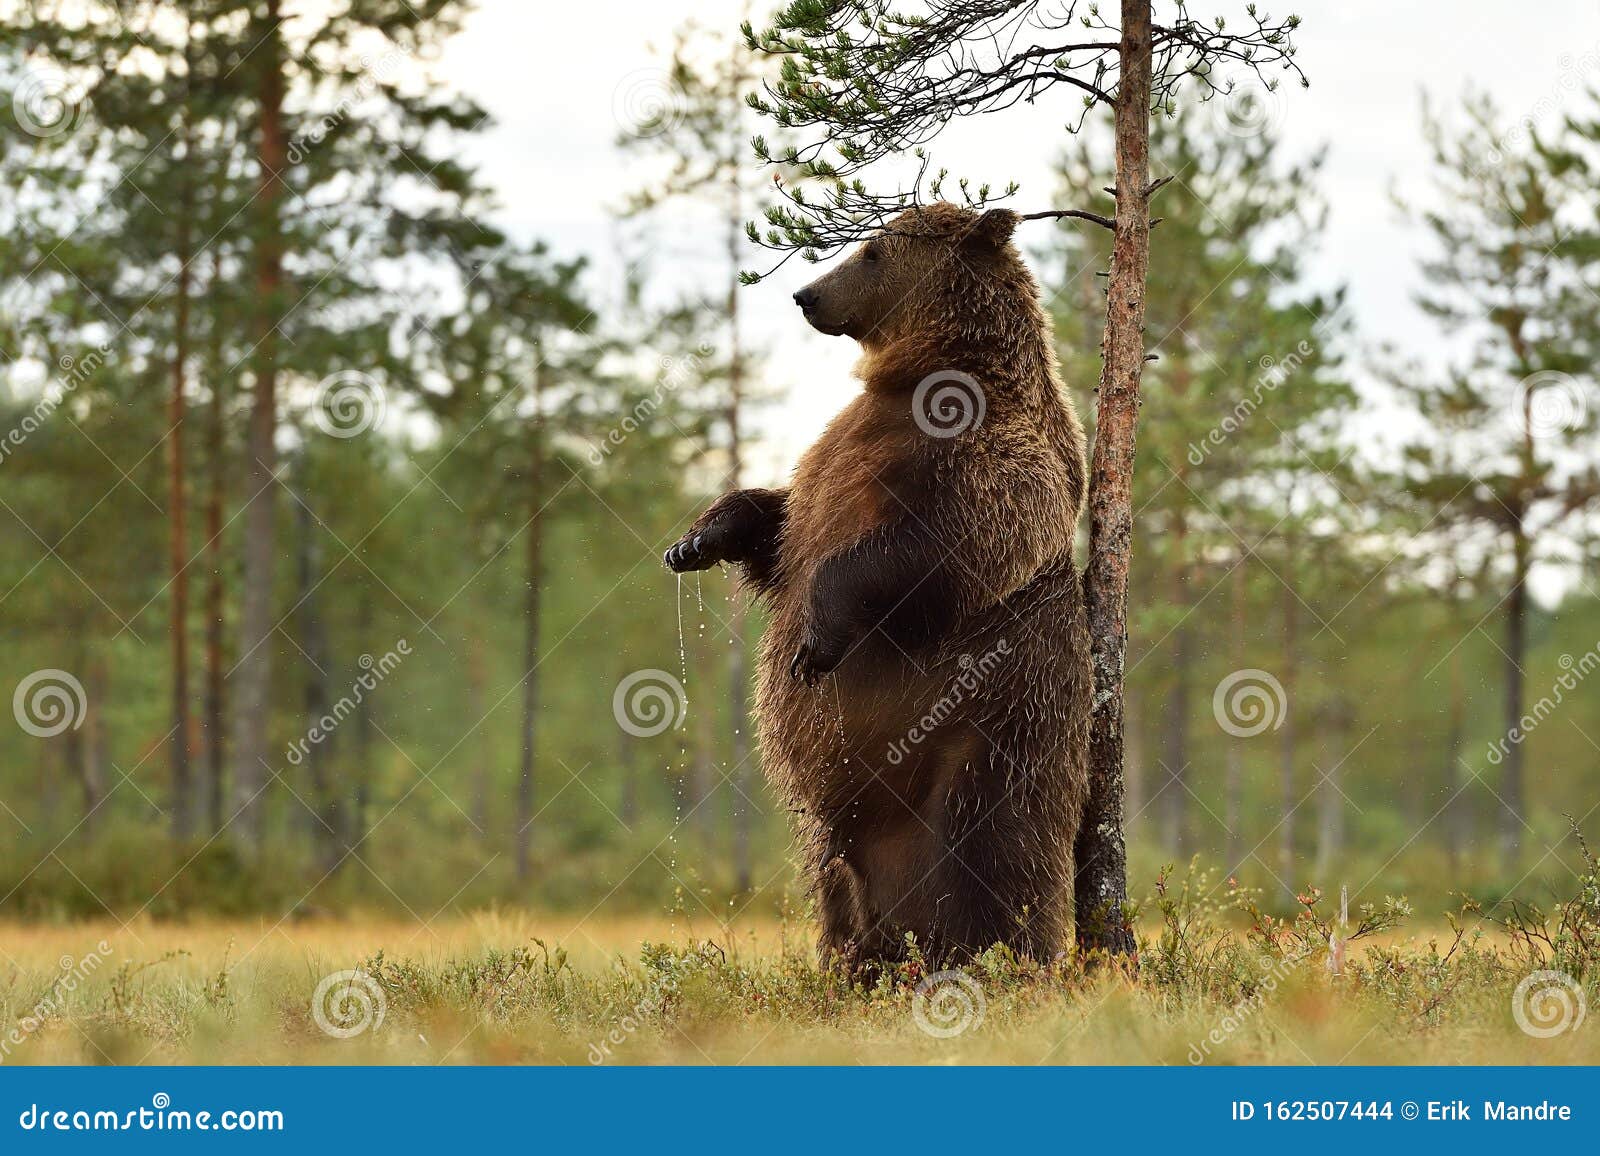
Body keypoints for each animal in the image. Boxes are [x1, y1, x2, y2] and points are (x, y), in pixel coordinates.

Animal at [664, 201, 1091, 968]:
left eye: (870, 251)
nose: (805, 294)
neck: (920, 375)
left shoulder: (988, 459)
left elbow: (939, 544)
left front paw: (815, 642)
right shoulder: (835, 456)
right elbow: (779, 525)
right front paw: (698, 539)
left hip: (996, 724)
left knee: (996, 846)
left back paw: (1000, 957)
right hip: (836, 834)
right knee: (833, 883)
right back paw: (858, 961)